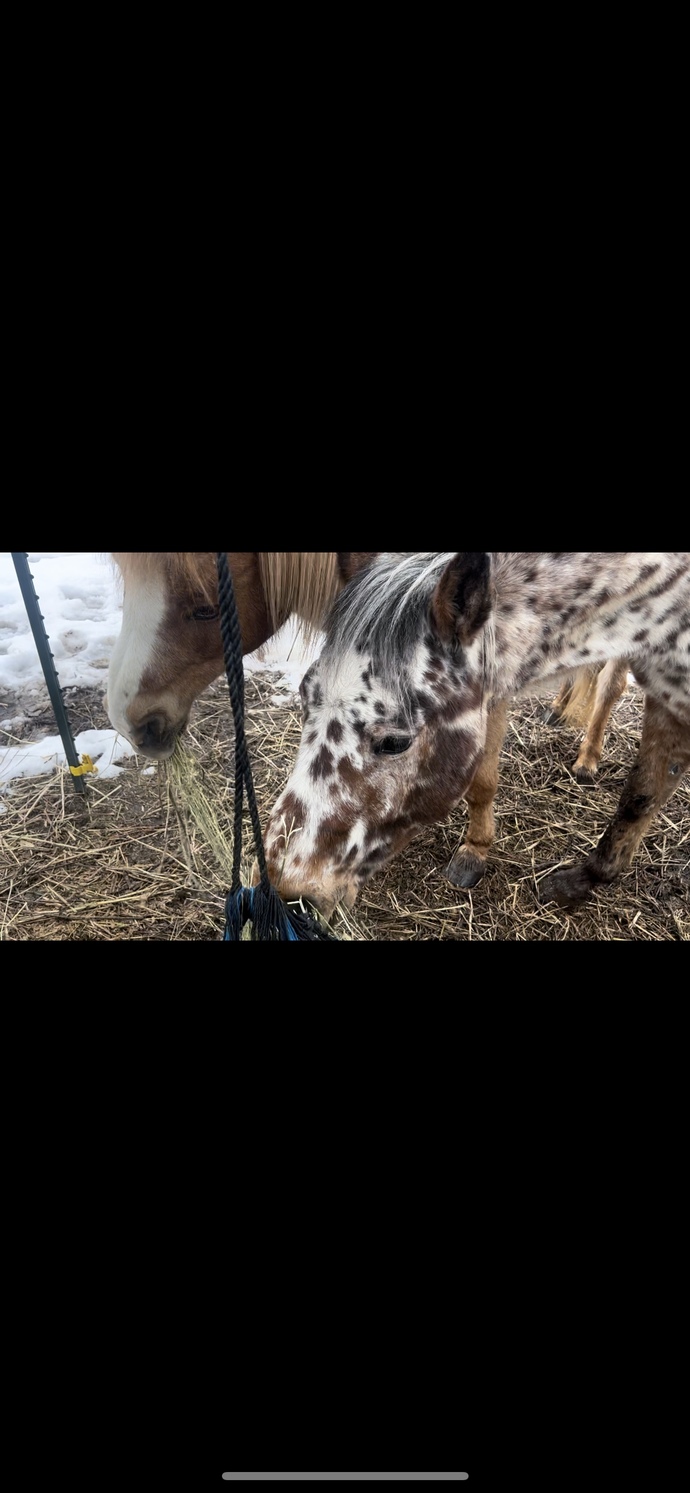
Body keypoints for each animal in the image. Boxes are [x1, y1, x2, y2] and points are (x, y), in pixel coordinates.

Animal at [258, 552, 690, 917]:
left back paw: (588, 757)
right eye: (304, 697)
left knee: (610, 687)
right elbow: (642, 794)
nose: (287, 889)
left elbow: (641, 795)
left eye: (395, 742)